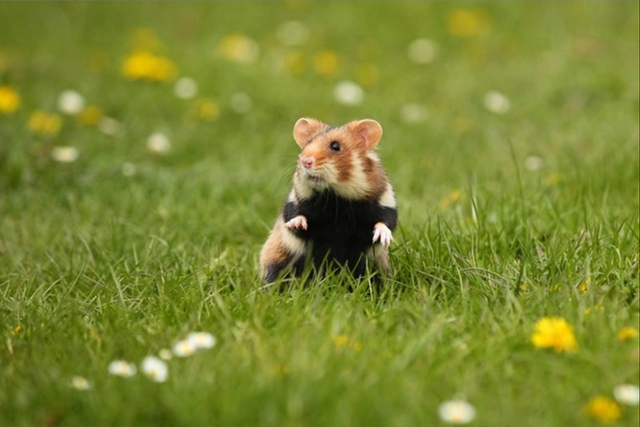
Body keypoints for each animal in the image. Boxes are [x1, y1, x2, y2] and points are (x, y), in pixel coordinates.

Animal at [259, 118, 398, 284]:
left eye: (335, 146)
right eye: (308, 143)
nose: (306, 161)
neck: (335, 197)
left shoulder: (385, 200)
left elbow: (386, 221)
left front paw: (383, 237)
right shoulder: (296, 200)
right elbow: (295, 214)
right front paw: (297, 224)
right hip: (279, 259)